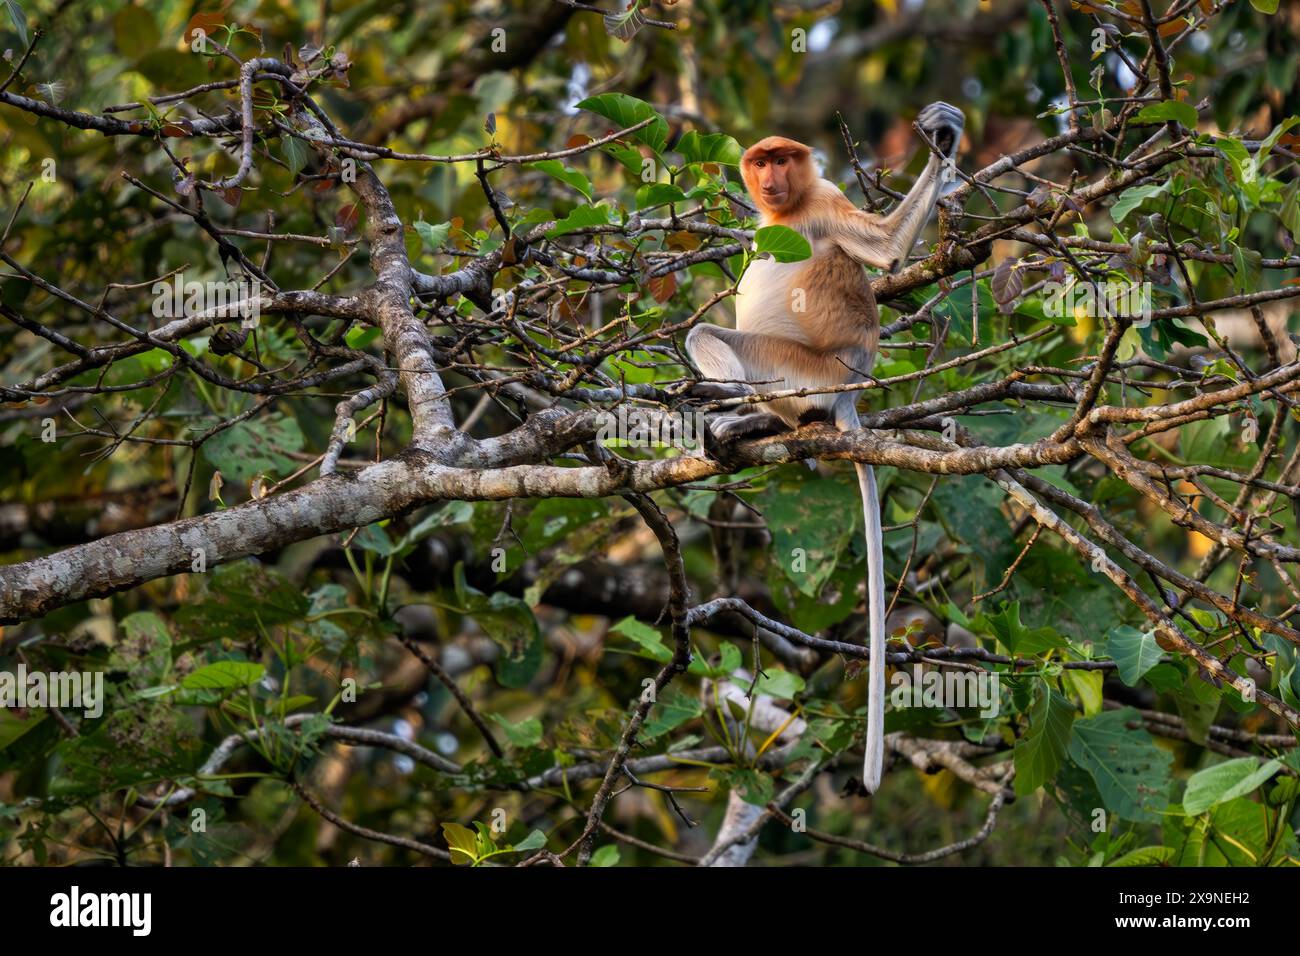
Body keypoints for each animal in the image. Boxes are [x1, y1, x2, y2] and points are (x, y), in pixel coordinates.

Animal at [685, 102, 964, 793]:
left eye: (784, 159)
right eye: (760, 161)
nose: (771, 178)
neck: (788, 211)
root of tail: (848, 392)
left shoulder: (825, 201)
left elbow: (886, 250)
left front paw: (944, 134)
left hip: (799, 371)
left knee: (708, 337)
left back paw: (739, 413)